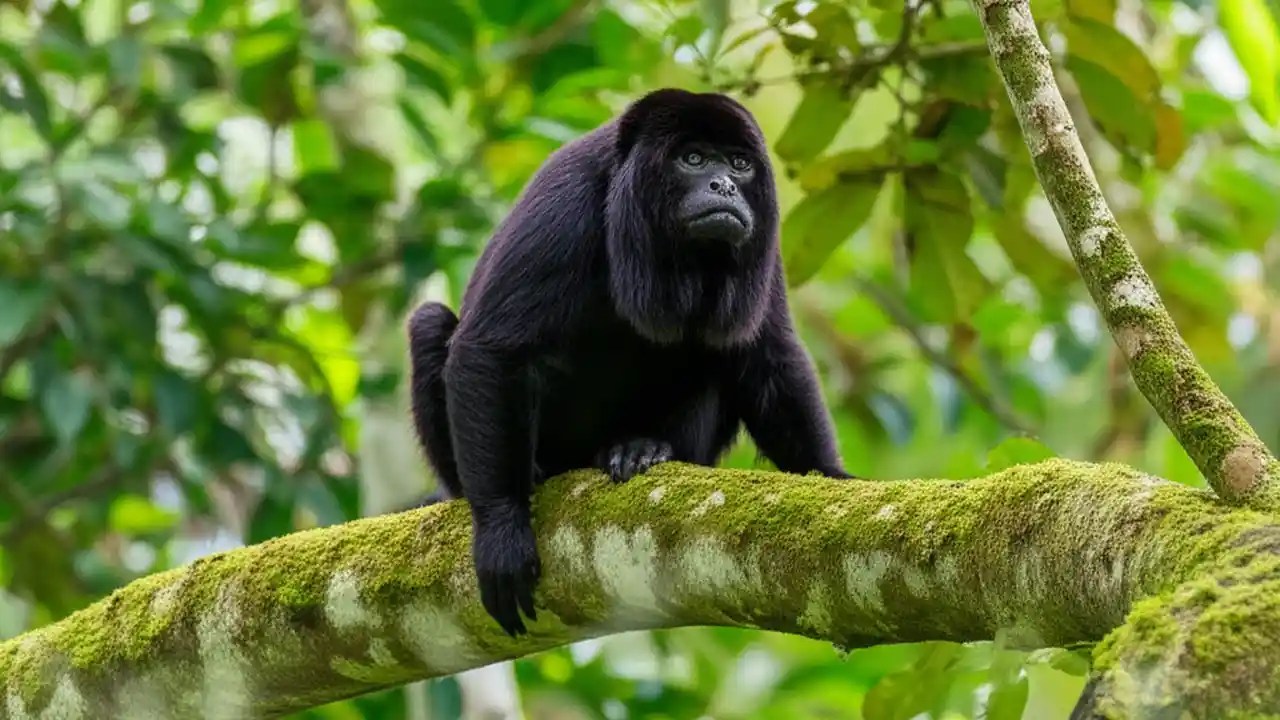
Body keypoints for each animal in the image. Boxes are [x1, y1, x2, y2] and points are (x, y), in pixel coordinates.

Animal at [407, 88, 853, 636]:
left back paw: (642, 448)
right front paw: (501, 531)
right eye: (693, 159)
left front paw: (830, 476)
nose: (726, 185)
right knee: (430, 323)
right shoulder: (566, 201)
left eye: (740, 163)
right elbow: (491, 348)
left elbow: (770, 356)